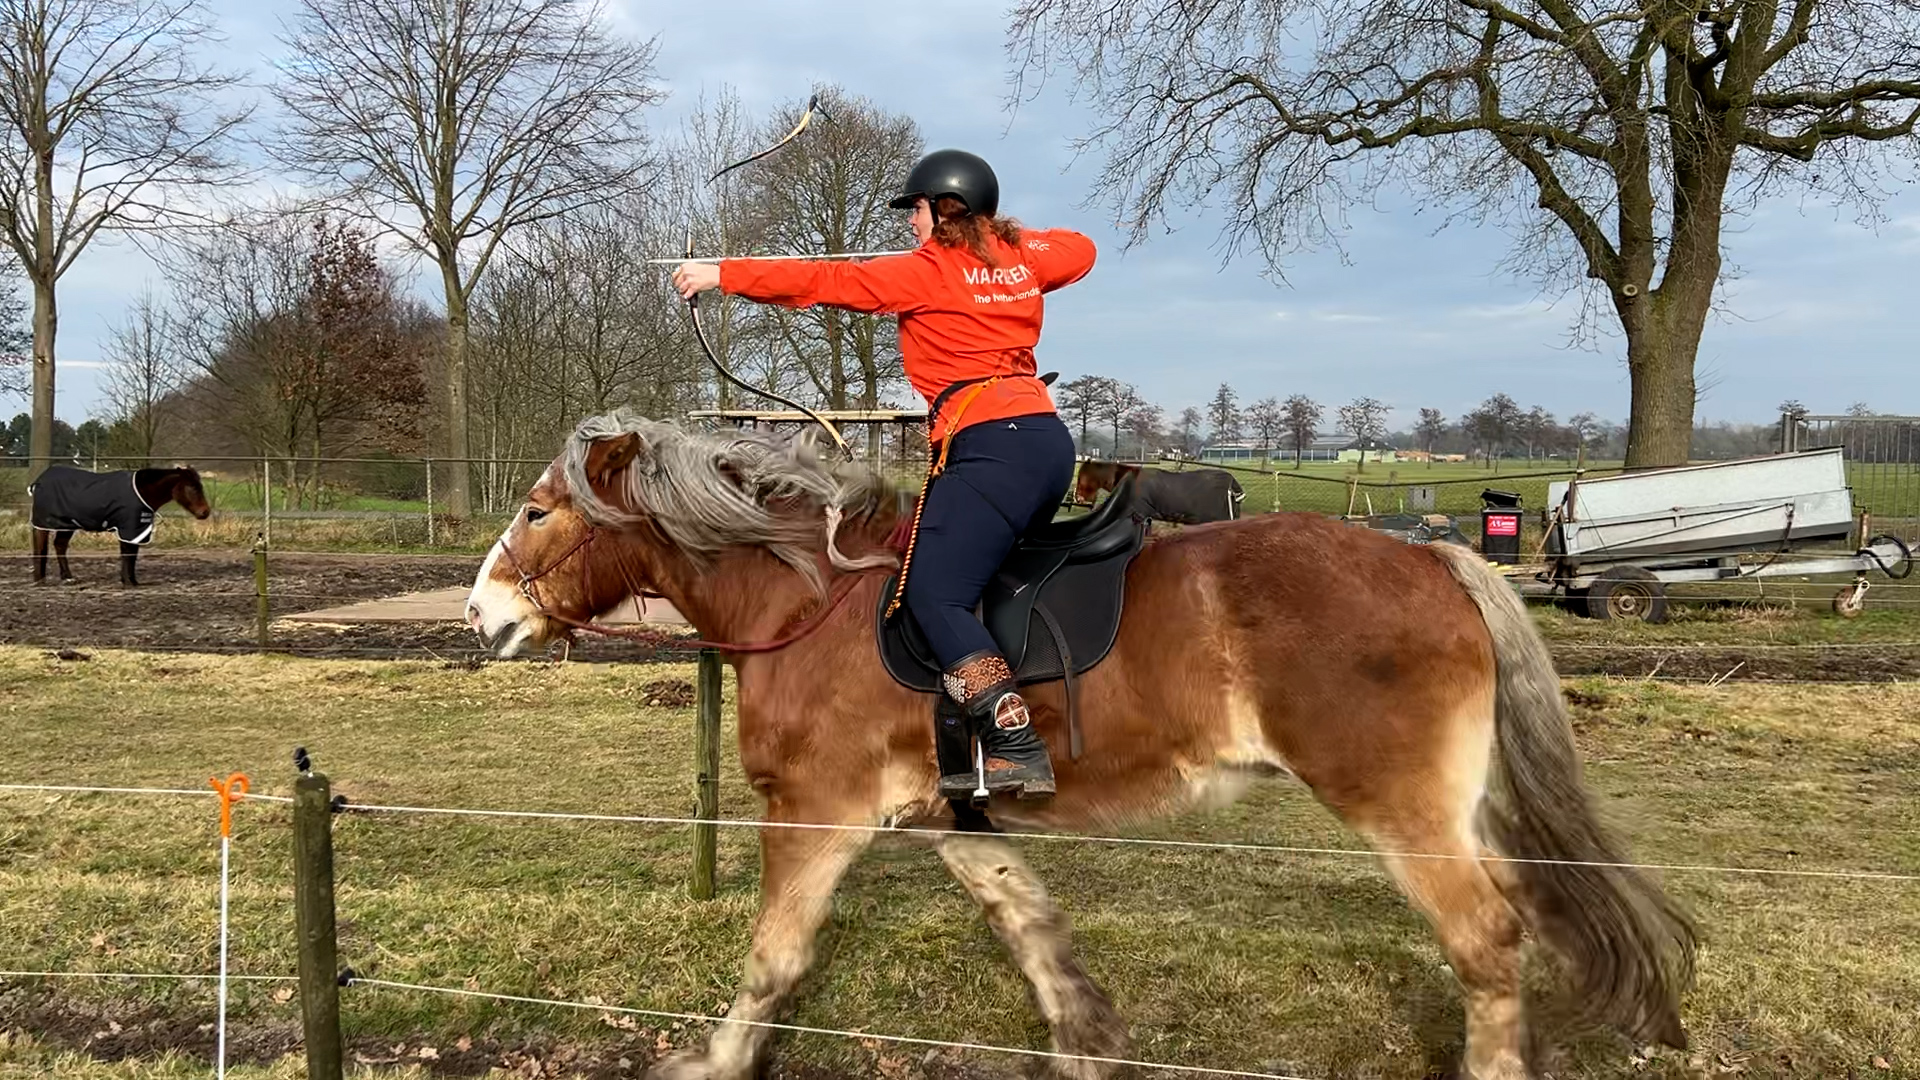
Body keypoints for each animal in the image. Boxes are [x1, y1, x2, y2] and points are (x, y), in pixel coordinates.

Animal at [29, 465, 211, 586]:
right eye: (192, 487)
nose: (205, 512)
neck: (141, 490)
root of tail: (39, 481)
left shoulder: (138, 529)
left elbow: (132, 554)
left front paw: (133, 581)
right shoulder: (127, 528)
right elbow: (127, 554)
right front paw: (127, 582)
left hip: (68, 525)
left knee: (60, 545)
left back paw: (68, 577)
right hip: (44, 524)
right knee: (41, 547)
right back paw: (40, 580)